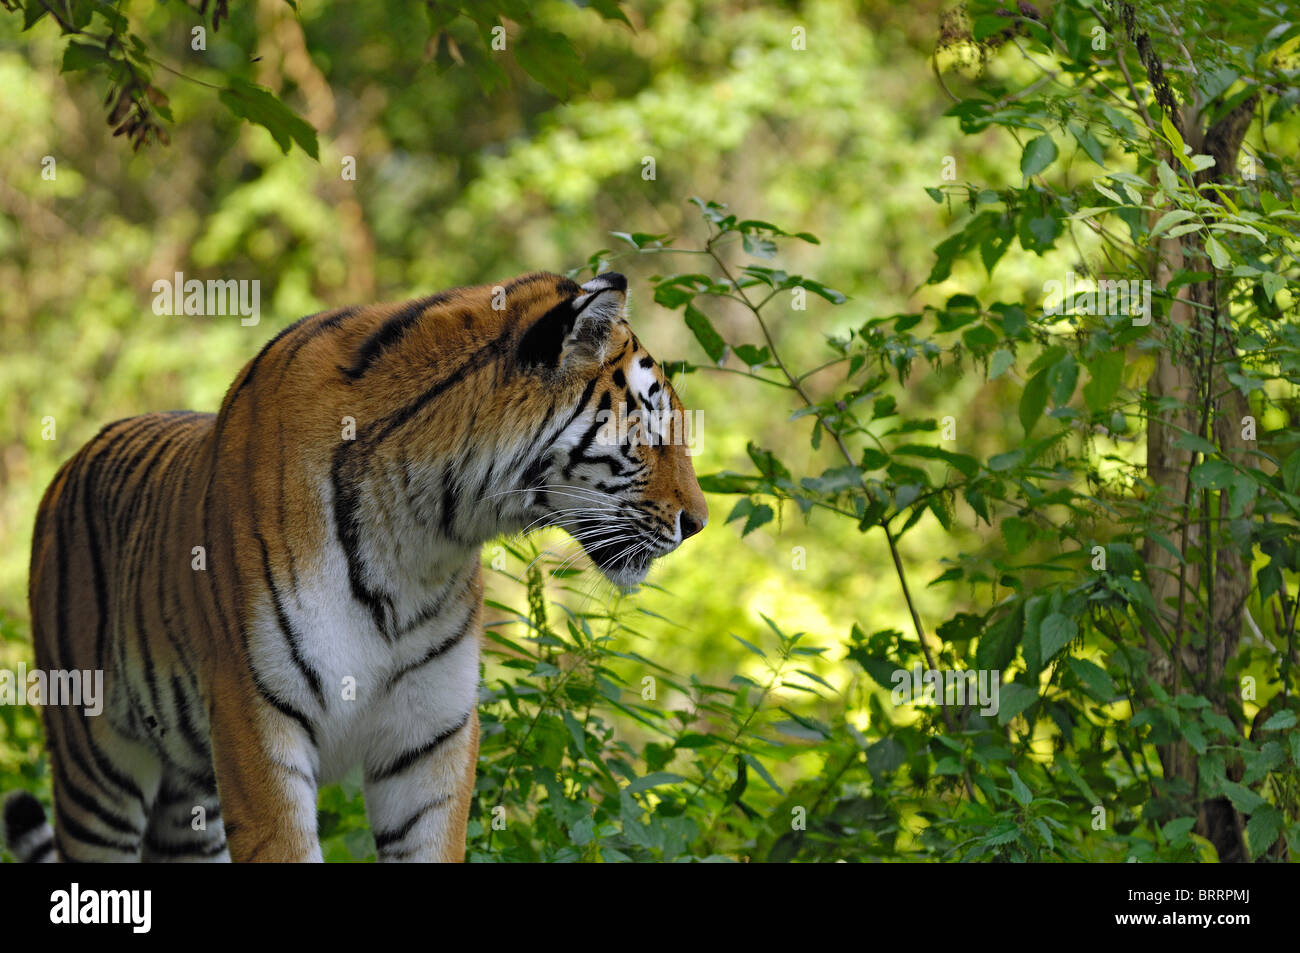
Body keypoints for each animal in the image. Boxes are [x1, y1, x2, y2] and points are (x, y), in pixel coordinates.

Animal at [1, 270, 708, 863]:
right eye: (651, 428)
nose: (697, 523)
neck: (423, 533)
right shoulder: (257, 724)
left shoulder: (430, 737)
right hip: (95, 768)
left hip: (188, 800)